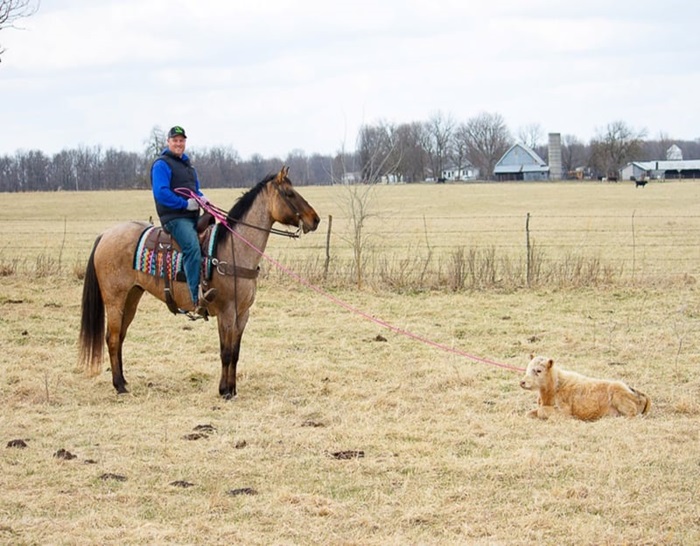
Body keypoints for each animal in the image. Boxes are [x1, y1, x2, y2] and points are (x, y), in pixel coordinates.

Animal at [78, 166, 320, 398]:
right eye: (289, 193)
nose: (315, 219)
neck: (233, 249)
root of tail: (105, 235)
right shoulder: (226, 312)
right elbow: (226, 352)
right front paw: (225, 391)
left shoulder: (242, 314)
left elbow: (235, 352)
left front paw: (232, 389)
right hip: (114, 299)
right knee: (112, 338)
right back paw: (119, 386)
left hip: (132, 297)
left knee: (120, 337)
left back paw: (123, 380)